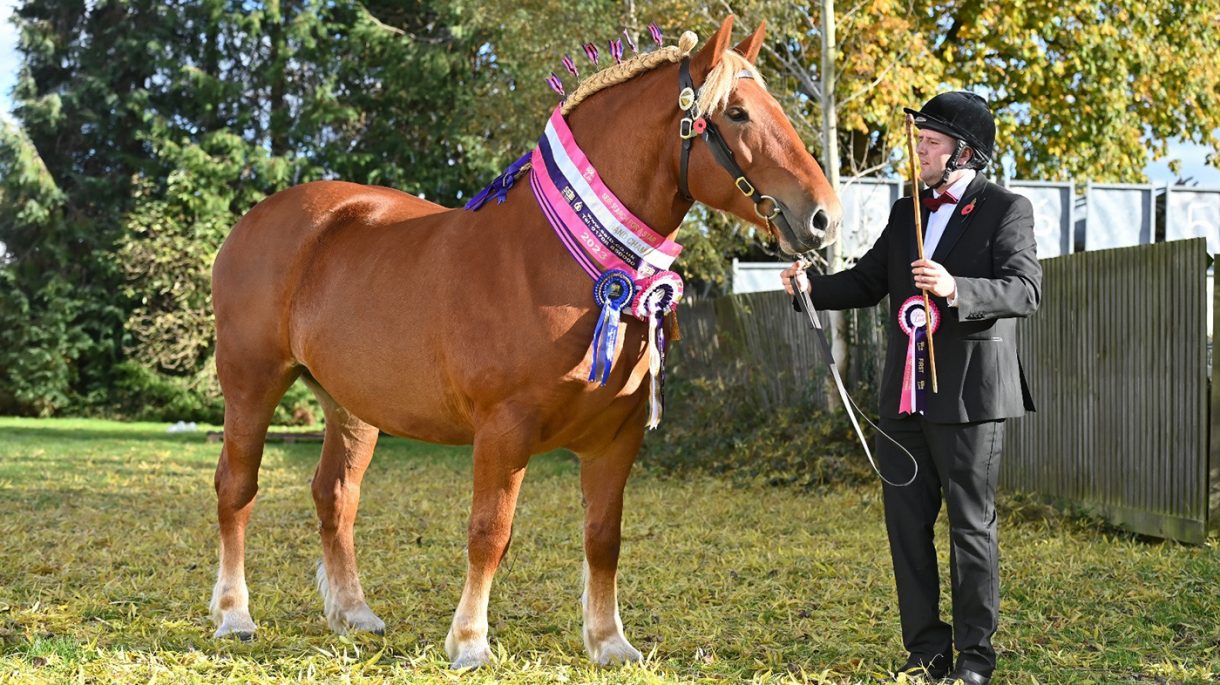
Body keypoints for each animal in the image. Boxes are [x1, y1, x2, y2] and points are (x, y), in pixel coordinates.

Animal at [208, 15, 841, 668]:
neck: (562, 261)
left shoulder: (618, 438)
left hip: (350, 407)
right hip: (252, 386)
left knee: (335, 496)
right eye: (736, 113)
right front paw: (469, 642)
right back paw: (234, 617)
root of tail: (254, 221)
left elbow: (603, 537)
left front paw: (609, 641)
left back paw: (354, 613)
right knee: (237, 489)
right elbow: (490, 533)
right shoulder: (503, 431)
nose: (824, 217)